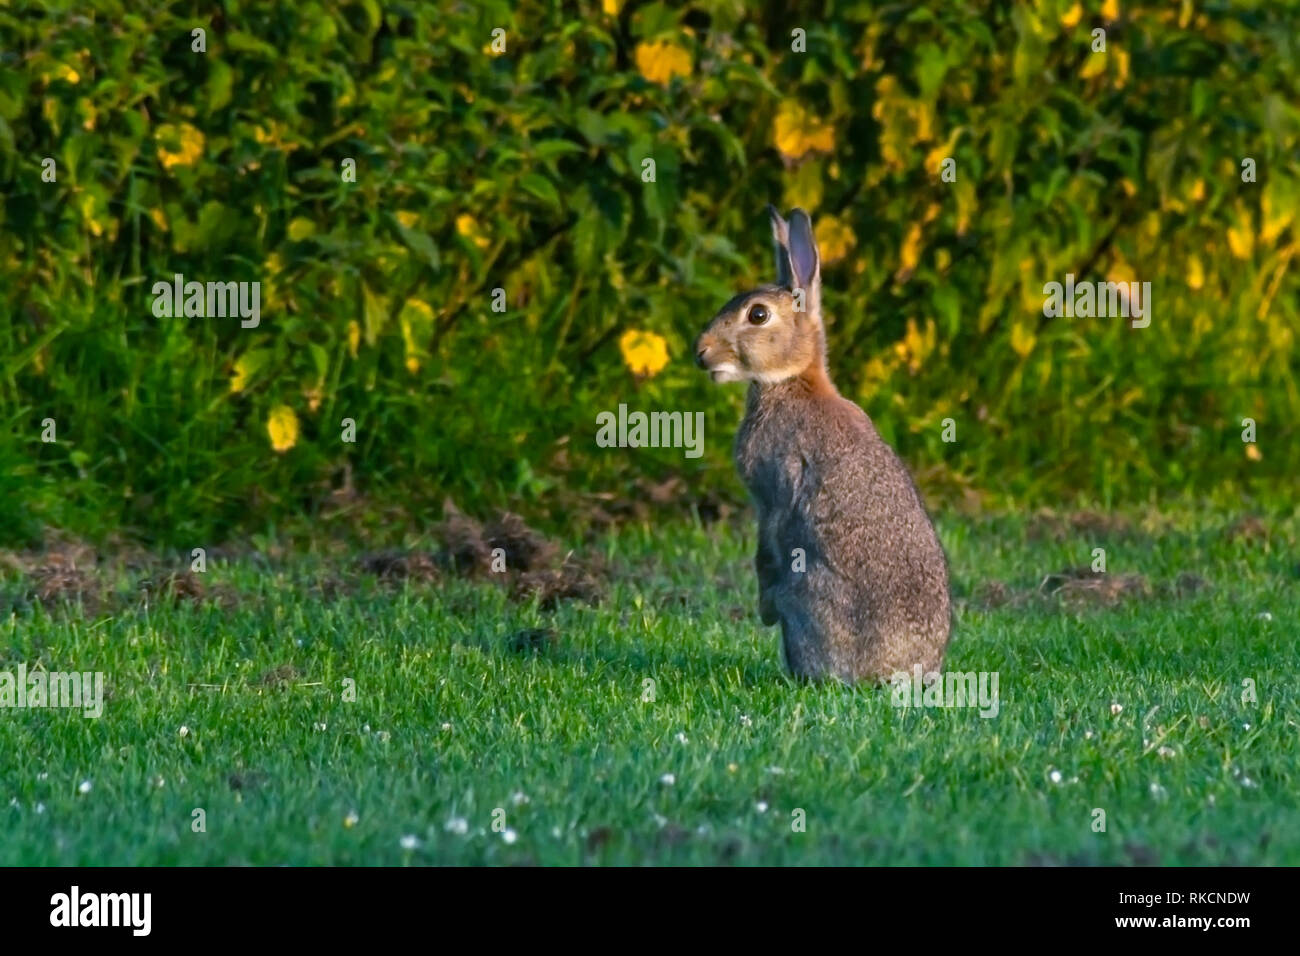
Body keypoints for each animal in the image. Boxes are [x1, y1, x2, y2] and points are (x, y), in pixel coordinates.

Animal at [693, 206, 951, 683]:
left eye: (758, 316)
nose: (701, 352)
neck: (791, 380)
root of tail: (900, 674)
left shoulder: (773, 494)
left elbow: (767, 550)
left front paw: (763, 610)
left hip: (806, 598)